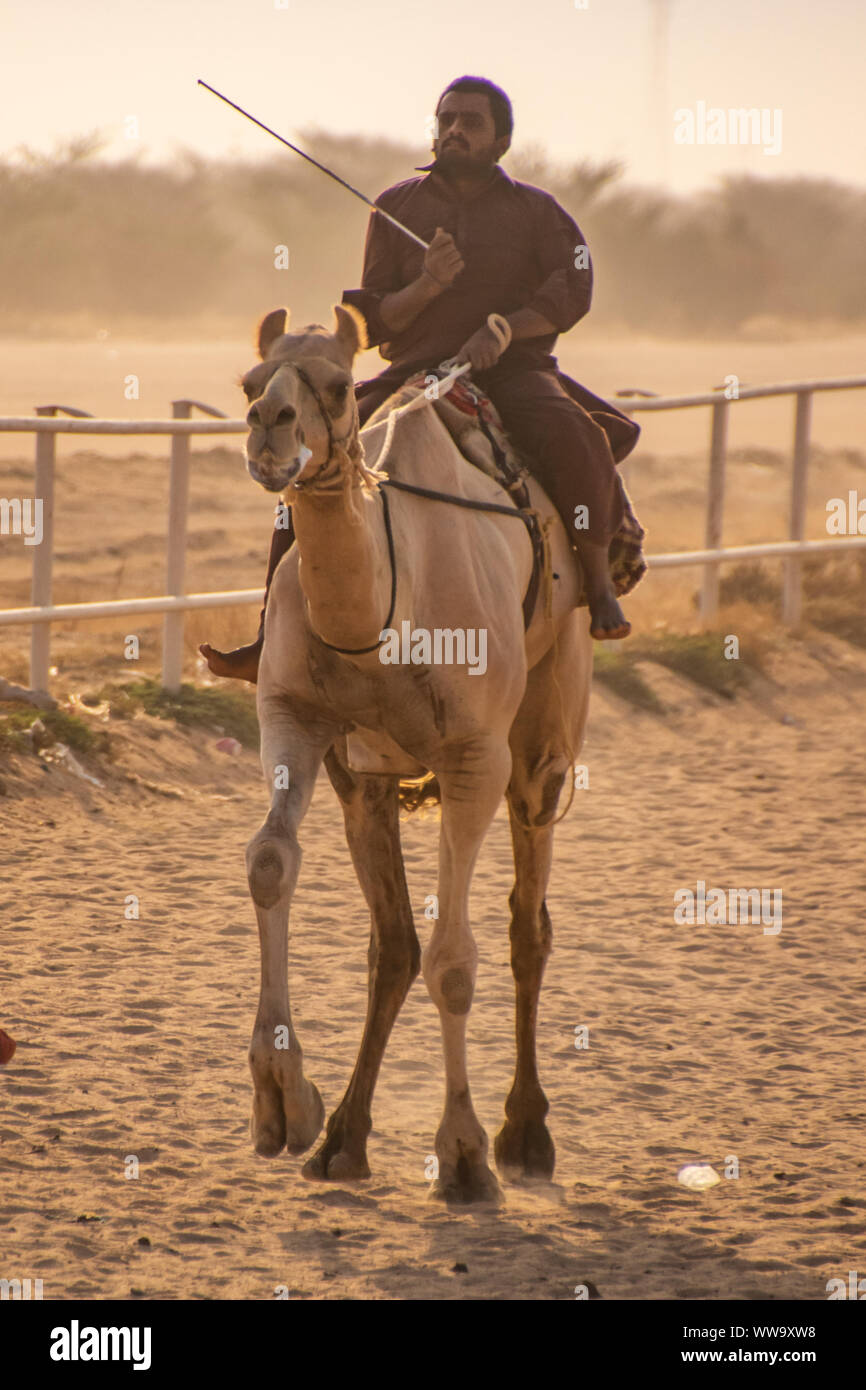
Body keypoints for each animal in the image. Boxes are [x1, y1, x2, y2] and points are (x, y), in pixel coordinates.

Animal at [240, 303, 592, 1203]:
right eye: (250, 382)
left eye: (336, 385)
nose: (269, 429)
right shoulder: (296, 719)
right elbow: (271, 863)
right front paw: (282, 1102)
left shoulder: (474, 758)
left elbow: (456, 959)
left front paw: (464, 1155)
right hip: (365, 783)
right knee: (392, 943)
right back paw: (343, 1138)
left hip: (542, 744)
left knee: (525, 927)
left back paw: (525, 1134)